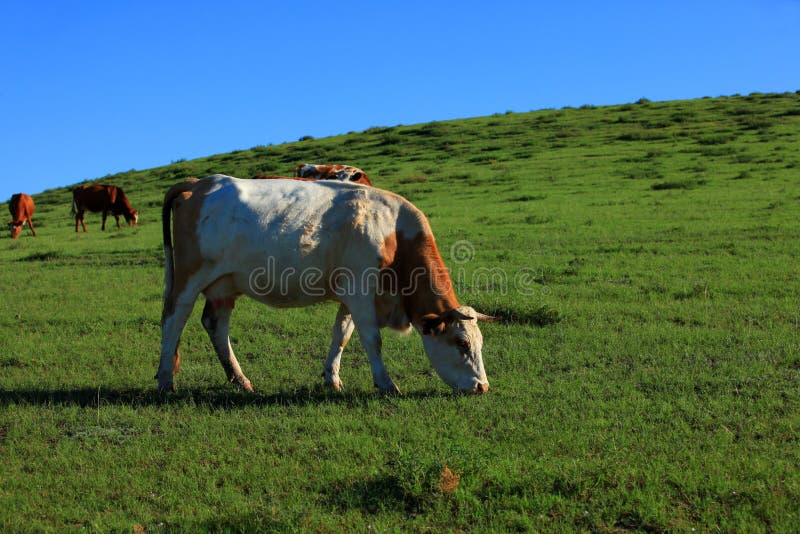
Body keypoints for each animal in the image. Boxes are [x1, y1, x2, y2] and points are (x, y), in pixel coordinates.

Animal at [158, 174, 493, 395]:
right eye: (462, 343)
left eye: (479, 344)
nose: (482, 387)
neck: (394, 233)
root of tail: (201, 182)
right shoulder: (361, 289)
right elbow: (372, 339)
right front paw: (386, 384)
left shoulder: (348, 295)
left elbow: (341, 335)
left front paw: (332, 378)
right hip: (189, 277)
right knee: (173, 320)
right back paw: (164, 381)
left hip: (224, 286)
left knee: (216, 326)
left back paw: (239, 379)